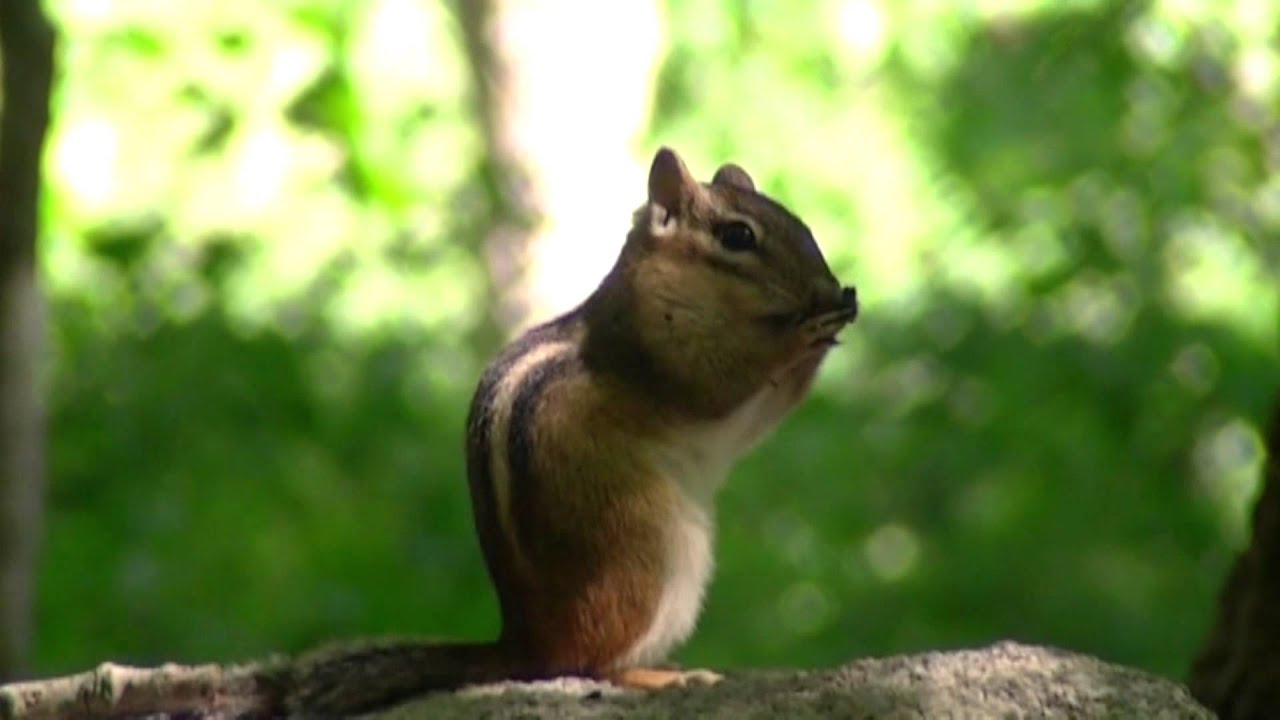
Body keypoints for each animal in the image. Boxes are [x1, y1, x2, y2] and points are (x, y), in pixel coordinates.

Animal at [286, 147, 859, 716]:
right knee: (589, 664)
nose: (830, 289)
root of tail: (526, 643)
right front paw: (804, 333)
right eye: (738, 236)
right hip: (647, 556)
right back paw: (660, 676)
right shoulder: (658, 351)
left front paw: (834, 319)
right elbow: (718, 385)